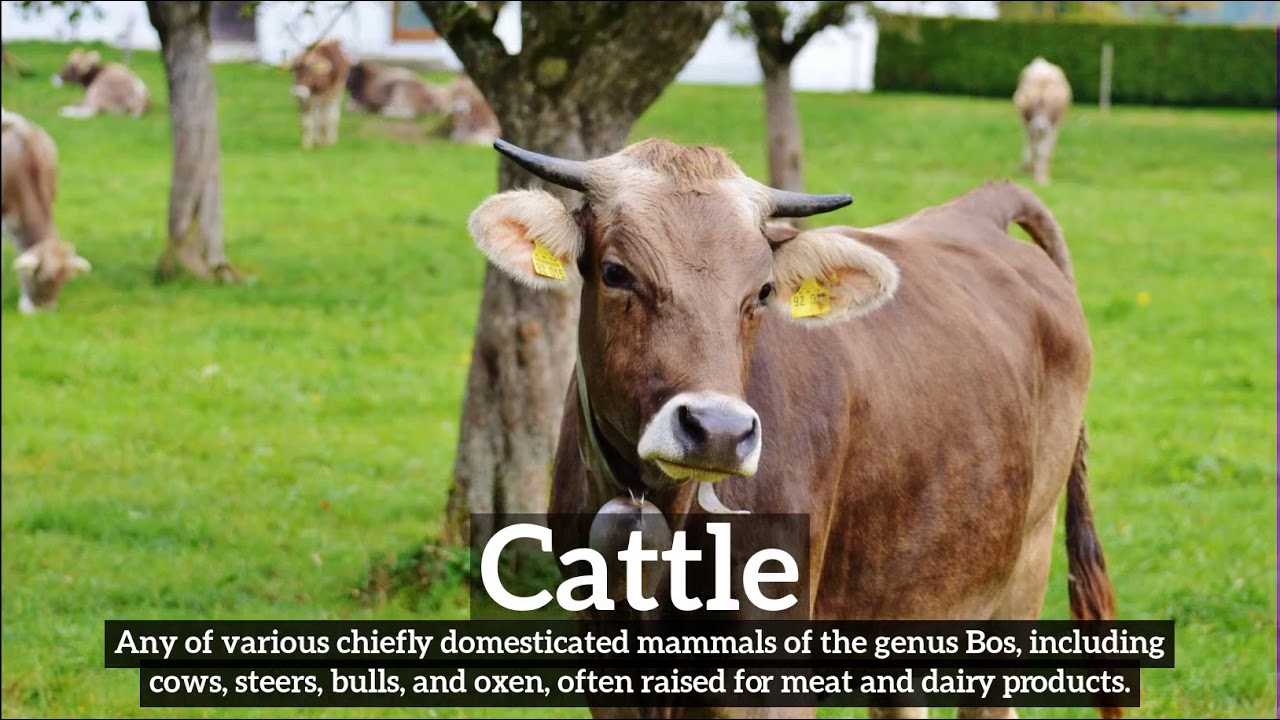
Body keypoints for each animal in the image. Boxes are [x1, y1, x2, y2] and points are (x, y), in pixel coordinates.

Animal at [1014, 57, 1072, 186]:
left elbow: (1043, 151)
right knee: (1030, 144)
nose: (1041, 127)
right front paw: (1032, 171)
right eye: (1032, 104)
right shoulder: (1030, 125)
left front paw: (1042, 179)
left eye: (1051, 105)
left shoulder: (1053, 127)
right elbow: (1035, 148)